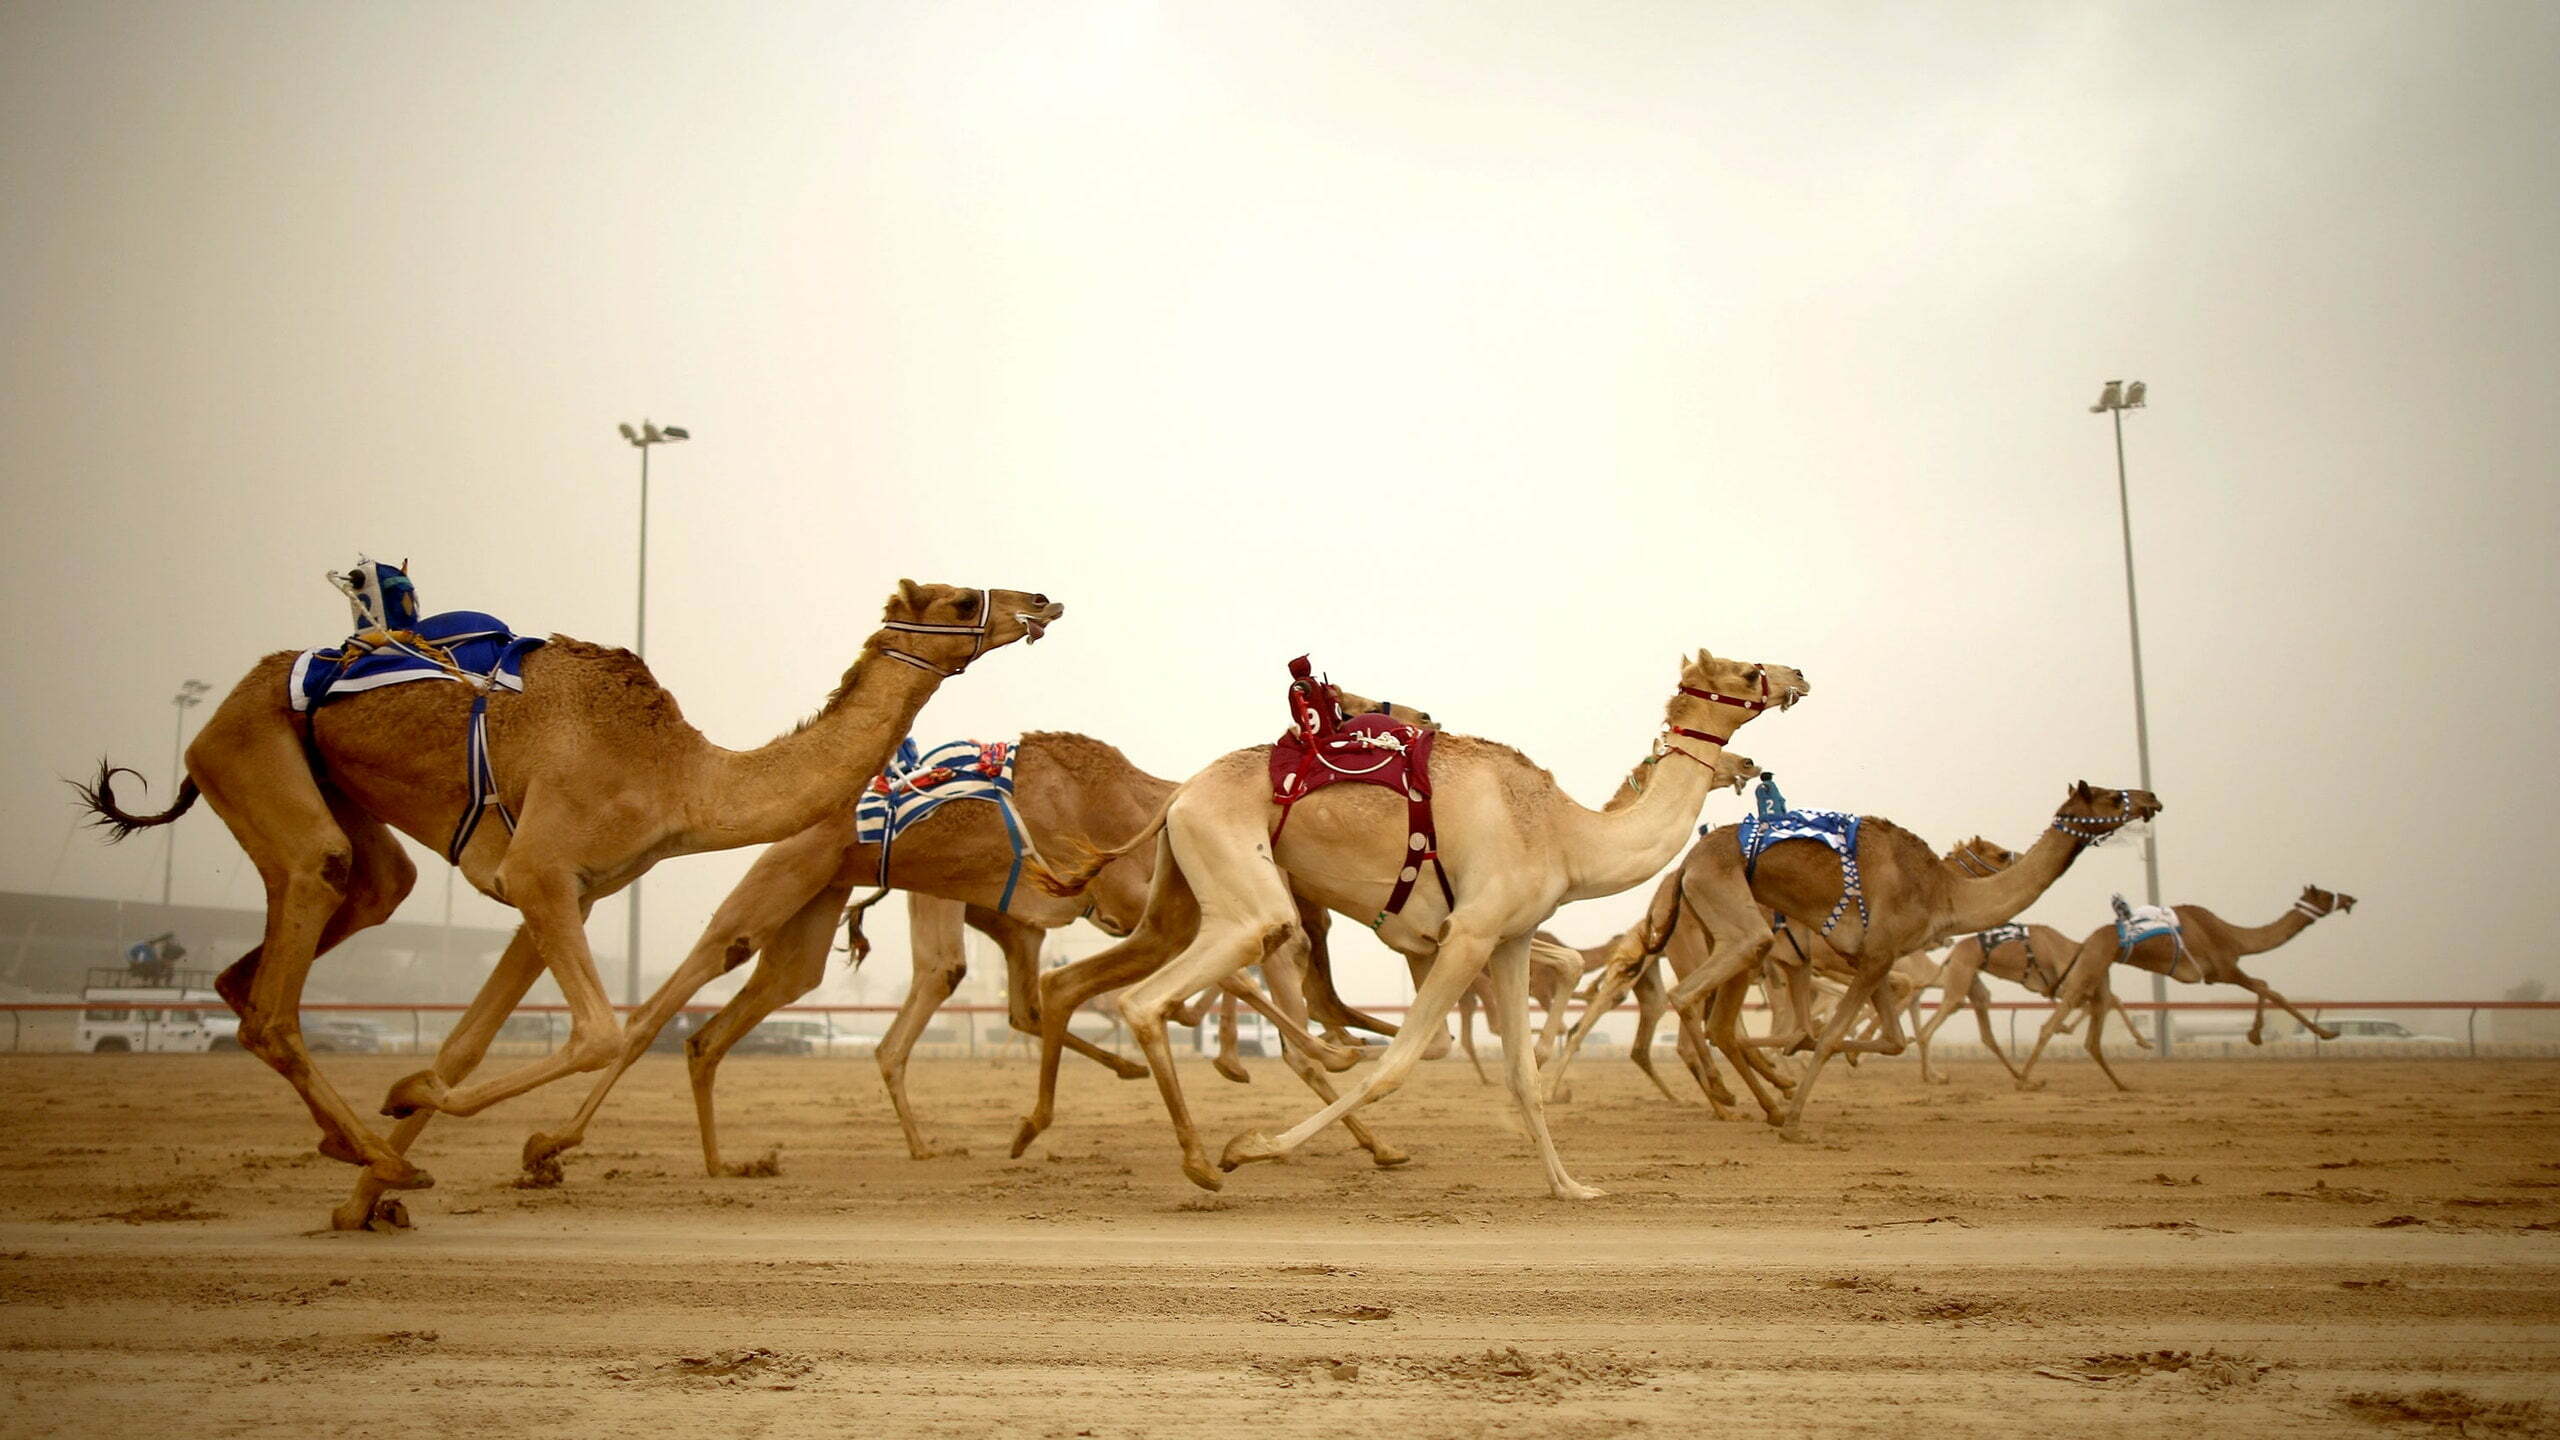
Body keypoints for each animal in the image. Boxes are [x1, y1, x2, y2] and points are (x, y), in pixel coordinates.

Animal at [80, 579, 1062, 1229]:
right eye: (954, 600)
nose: (1041, 601)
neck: (679, 775)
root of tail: (233, 698)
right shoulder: (541, 871)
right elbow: (595, 1031)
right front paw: (428, 1121)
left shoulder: (571, 894)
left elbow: (471, 1043)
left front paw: (371, 1191)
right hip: (246, 748)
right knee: (279, 990)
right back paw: (371, 1147)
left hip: (336, 805)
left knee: (301, 941)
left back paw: (366, 1153)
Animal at [1015, 650, 1812, 1198]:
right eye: (1748, 671)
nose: (1796, 675)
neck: (1564, 834)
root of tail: (1179, 795)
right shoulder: (1467, 935)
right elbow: (1400, 1062)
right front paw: (1255, 1147)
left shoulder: (1509, 939)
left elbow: (1521, 1073)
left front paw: (1571, 1186)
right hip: (1245, 894)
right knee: (1152, 997)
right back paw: (1208, 1162)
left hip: (1177, 896)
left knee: (1093, 983)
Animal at [1649, 783, 2164, 1134]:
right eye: (2112, 797)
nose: (2150, 798)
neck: (1940, 892)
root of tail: (1685, 867)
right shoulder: (1877, 953)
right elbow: (1832, 1034)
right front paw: (1796, 1116)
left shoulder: (1873, 955)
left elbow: (1887, 1039)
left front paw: (1805, 1074)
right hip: (1738, 926)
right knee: (1687, 998)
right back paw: (1732, 1093)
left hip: (1741, 944)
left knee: (1721, 1025)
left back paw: (1765, 1102)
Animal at [2013, 885, 2356, 1091]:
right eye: (2325, 894)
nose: (2350, 898)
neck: (2234, 936)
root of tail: (2086, 941)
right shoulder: (2223, 967)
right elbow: (2268, 989)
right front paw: (2325, 1032)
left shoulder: (2223, 971)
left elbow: (2263, 987)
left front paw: (2256, 1034)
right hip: (2090, 969)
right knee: (2052, 1025)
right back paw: (2024, 1080)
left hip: (2097, 973)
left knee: (2092, 1035)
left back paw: (2122, 1083)